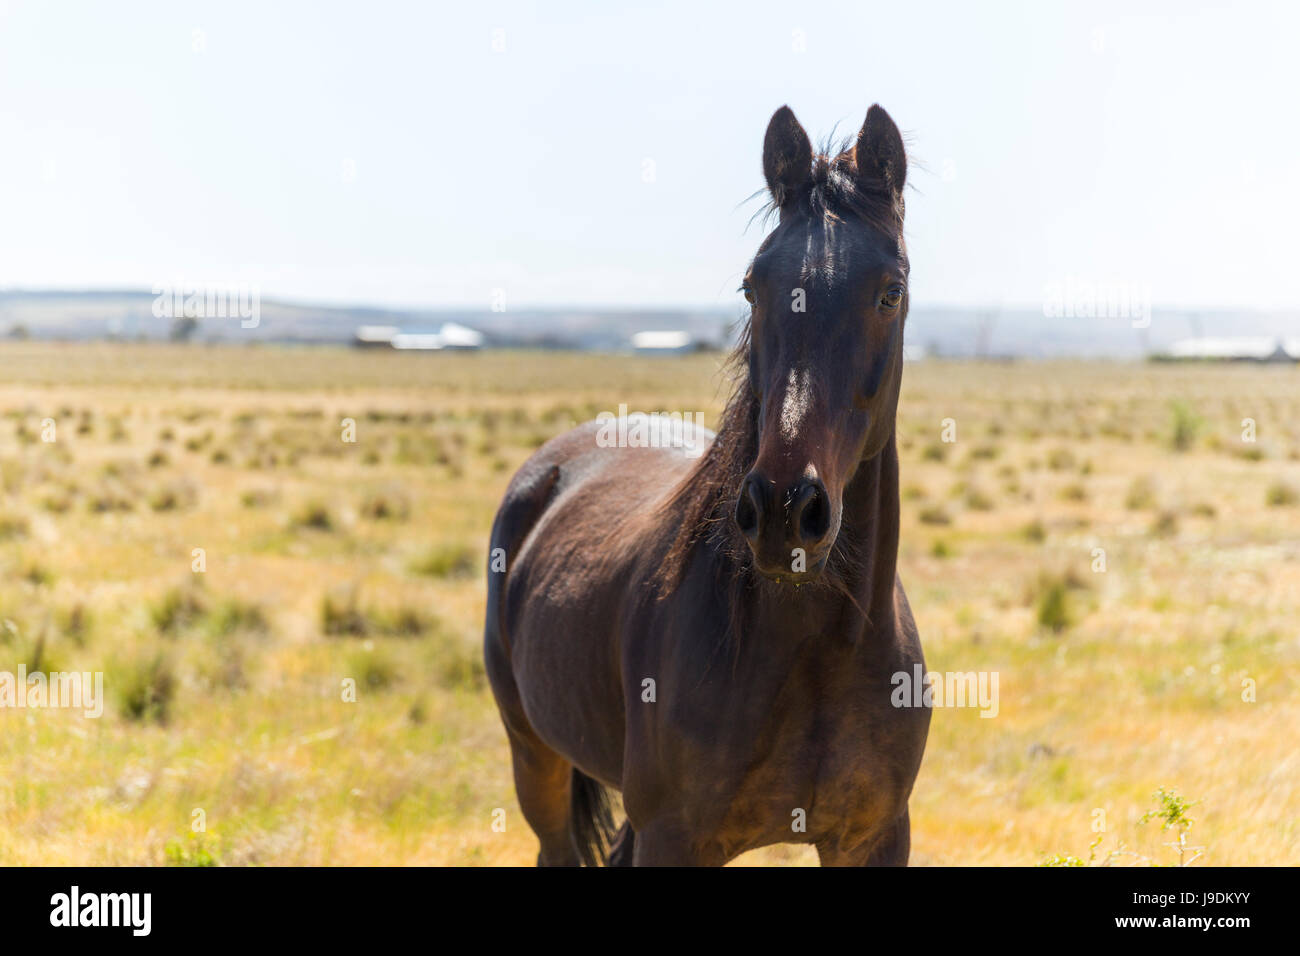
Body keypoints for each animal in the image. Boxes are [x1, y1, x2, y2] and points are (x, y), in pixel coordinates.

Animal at [483, 103, 929, 866]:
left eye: (890, 292)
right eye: (754, 286)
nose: (783, 513)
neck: (817, 652)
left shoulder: (873, 837)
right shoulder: (675, 838)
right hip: (533, 756)